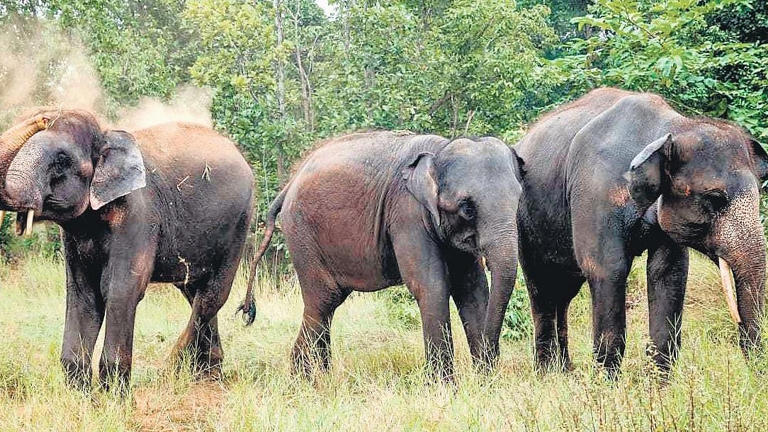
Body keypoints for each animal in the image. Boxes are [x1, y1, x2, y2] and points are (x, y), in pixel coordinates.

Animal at [2, 109, 254, 391]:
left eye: (61, 159)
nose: (45, 114)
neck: (107, 134)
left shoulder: (137, 215)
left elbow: (121, 290)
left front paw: (112, 395)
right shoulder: (74, 235)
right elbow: (83, 293)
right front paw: (81, 395)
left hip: (239, 224)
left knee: (212, 295)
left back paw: (175, 367)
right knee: (194, 292)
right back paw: (207, 374)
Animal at [237, 131, 523, 380]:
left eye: (519, 201)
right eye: (467, 208)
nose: (489, 366)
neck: (440, 150)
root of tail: (288, 187)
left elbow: (472, 289)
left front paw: (485, 385)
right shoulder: (406, 213)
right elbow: (432, 286)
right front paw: (445, 389)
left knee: (329, 304)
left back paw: (322, 377)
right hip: (302, 235)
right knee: (322, 302)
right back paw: (304, 382)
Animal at [515, 87, 768, 376]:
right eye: (715, 199)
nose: (755, 372)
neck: (671, 130)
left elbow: (668, 272)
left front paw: (659, 383)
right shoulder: (594, 193)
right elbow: (607, 268)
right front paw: (605, 382)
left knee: (564, 292)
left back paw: (566, 371)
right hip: (524, 224)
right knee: (541, 287)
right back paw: (547, 373)